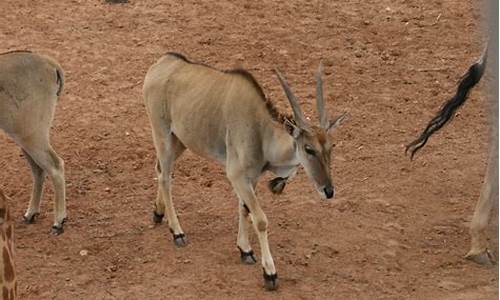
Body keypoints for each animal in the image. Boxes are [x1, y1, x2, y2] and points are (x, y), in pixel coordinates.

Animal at [0, 51, 66, 234]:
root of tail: (48, 62)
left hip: (31, 136)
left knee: (55, 165)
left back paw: (58, 222)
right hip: (24, 138)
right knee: (39, 170)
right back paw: (31, 214)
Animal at [144, 52, 348, 290]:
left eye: (331, 146)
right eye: (308, 148)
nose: (328, 191)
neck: (261, 130)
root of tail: (162, 63)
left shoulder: (251, 179)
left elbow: (244, 209)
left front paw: (245, 250)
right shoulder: (237, 176)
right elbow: (260, 219)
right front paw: (269, 273)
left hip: (181, 142)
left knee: (159, 169)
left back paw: (158, 213)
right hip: (163, 136)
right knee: (165, 178)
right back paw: (177, 232)